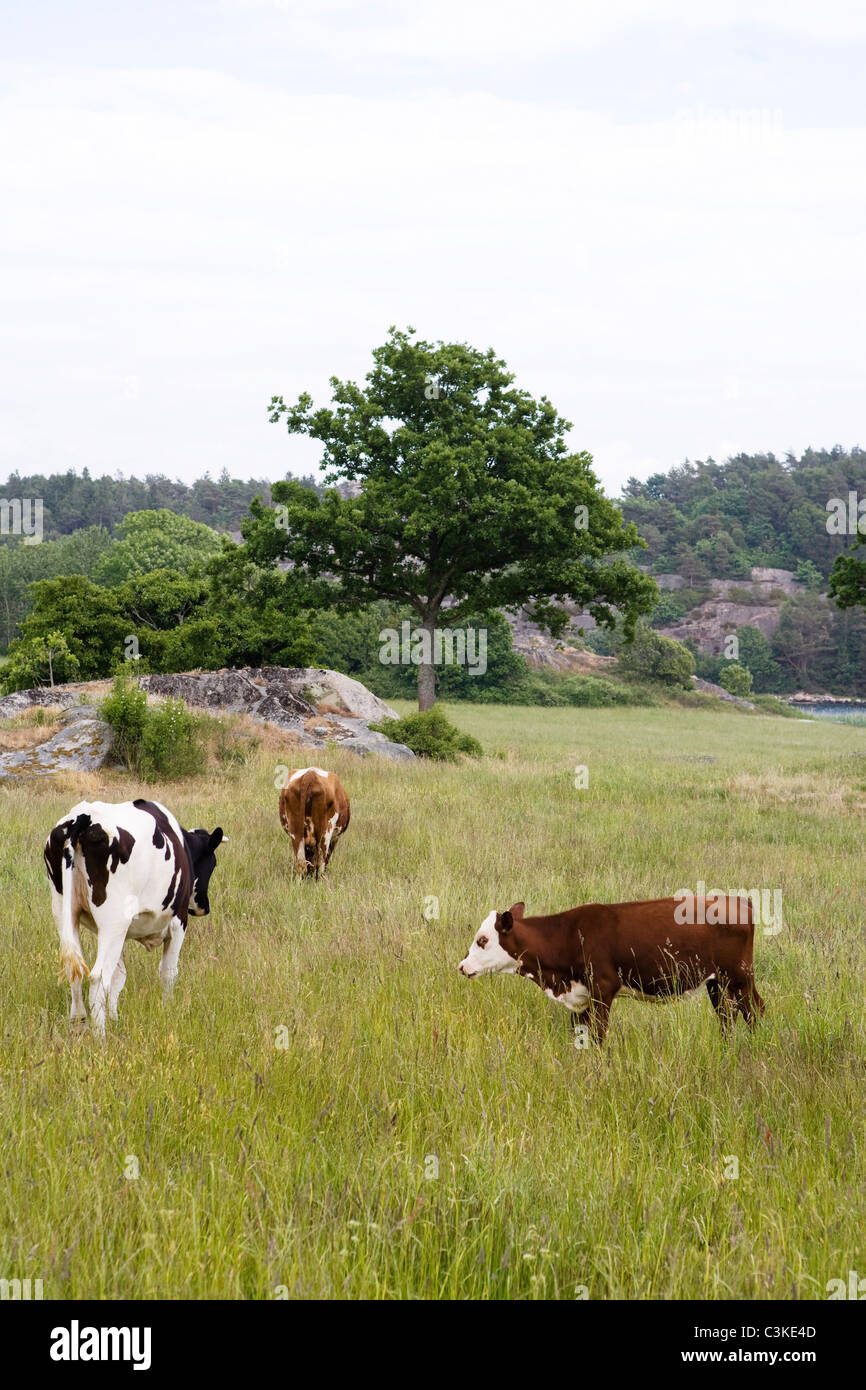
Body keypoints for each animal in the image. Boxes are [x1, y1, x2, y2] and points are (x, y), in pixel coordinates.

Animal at [44, 799, 226, 1034]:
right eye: (213, 864)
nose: (204, 907)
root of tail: (84, 817)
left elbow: (119, 977)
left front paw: (115, 1019)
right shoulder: (178, 923)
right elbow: (168, 972)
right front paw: (168, 1010)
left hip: (65, 913)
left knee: (75, 970)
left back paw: (79, 1022)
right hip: (113, 923)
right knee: (98, 978)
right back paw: (100, 1036)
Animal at [458, 896, 764, 1045]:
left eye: (482, 940)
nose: (462, 966)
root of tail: (737, 900)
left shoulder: (603, 989)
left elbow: (598, 1036)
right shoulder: (581, 998)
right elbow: (580, 1035)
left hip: (740, 977)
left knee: (754, 1011)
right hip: (716, 983)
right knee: (726, 1017)